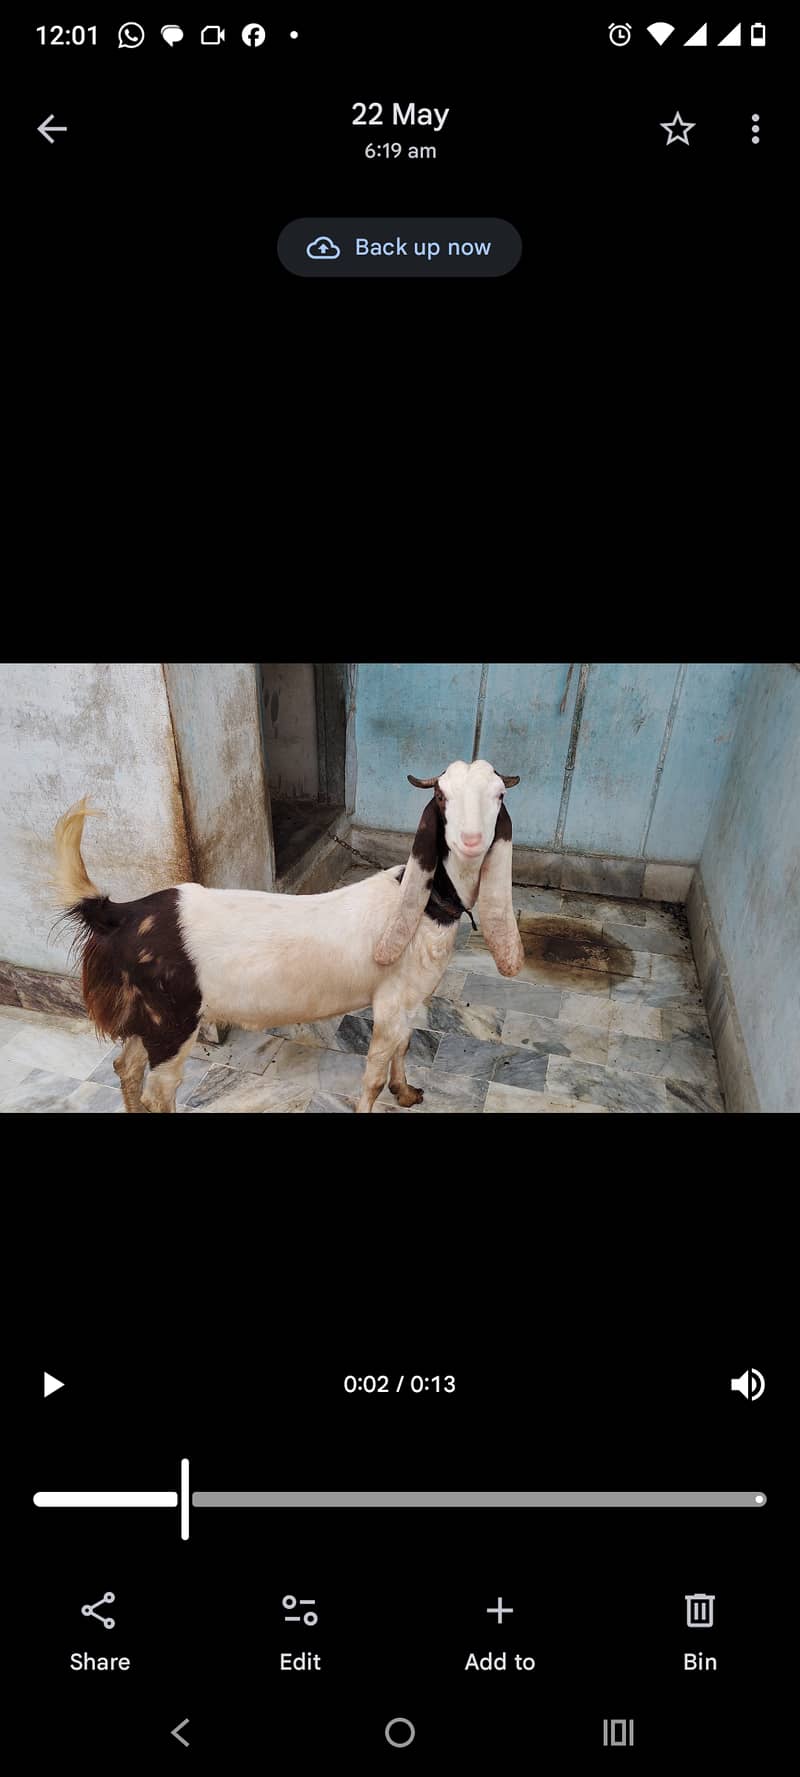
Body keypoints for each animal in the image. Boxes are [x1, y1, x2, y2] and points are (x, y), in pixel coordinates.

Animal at [53, 760, 524, 1113]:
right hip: (173, 1020)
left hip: (144, 1014)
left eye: (499, 796)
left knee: (125, 1067)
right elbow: (372, 1076)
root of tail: (123, 913)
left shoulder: (406, 1001)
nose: (470, 840)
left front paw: (406, 1093)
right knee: (158, 1095)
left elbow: (404, 1048)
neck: (424, 903)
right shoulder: (390, 1003)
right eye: (442, 797)